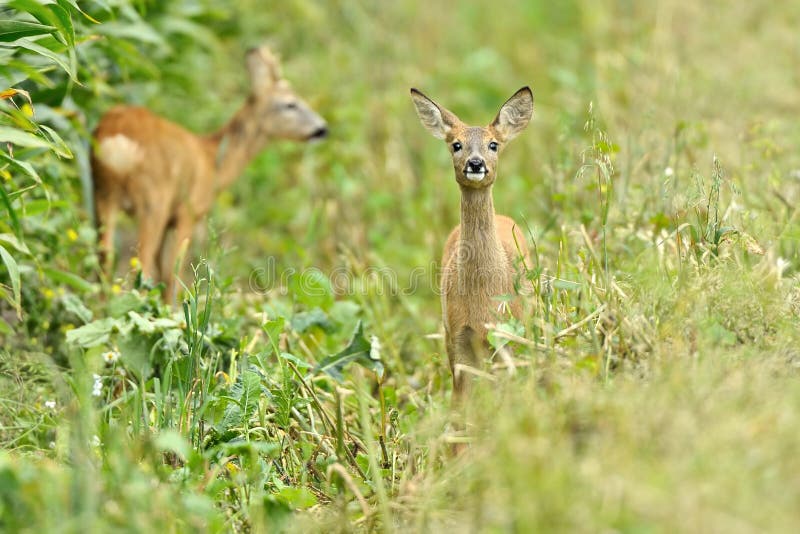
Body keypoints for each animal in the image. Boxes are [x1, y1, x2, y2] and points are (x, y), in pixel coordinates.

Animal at [91, 46, 327, 299]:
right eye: (291, 104)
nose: (322, 129)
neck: (210, 160)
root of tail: (116, 142)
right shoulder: (188, 210)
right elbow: (171, 272)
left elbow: (162, 269)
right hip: (153, 200)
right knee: (140, 264)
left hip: (102, 193)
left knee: (105, 257)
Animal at [410, 86, 533, 410]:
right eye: (456, 145)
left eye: (494, 144)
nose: (475, 163)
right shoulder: (458, 334)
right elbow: (461, 401)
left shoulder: (507, 332)